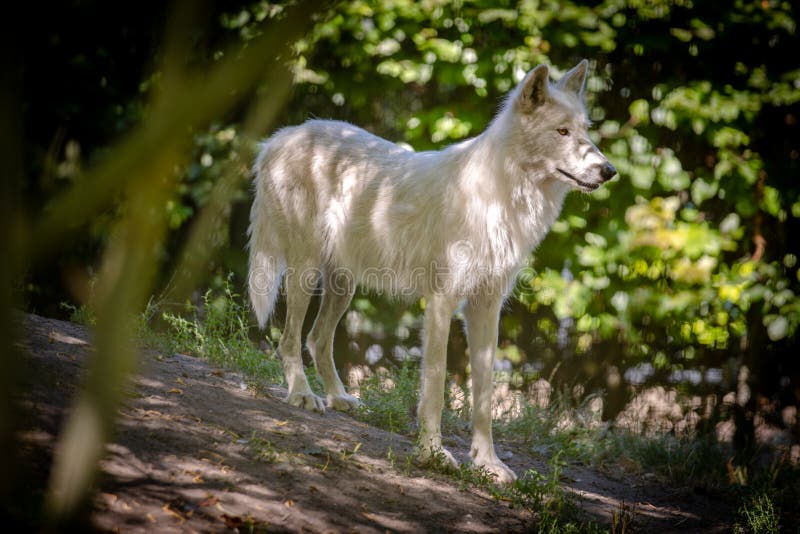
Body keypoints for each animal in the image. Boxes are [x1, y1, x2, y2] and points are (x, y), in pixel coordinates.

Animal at [248, 60, 616, 483]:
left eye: (586, 130)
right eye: (562, 132)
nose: (609, 170)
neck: (503, 197)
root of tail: (282, 136)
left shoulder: (486, 308)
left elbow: (484, 398)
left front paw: (487, 464)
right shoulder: (441, 303)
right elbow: (437, 386)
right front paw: (432, 454)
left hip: (343, 286)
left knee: (317, 339)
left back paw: (339, 398)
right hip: (304, 273)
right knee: (289, 339)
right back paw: (302, 395)